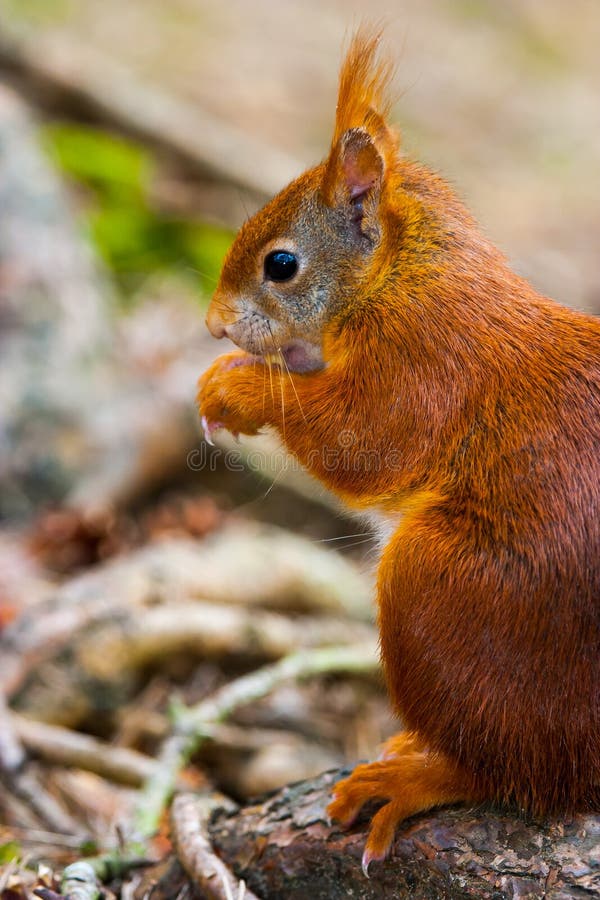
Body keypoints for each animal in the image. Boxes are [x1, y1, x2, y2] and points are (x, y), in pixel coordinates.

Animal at [198, 29, 600, 872]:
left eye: (281, 264)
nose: (214, 324)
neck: (400, 276)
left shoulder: (423, 360)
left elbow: (367, 443)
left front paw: (233, 388)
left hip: (447, 587)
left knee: (527, 772)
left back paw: (423, 776)